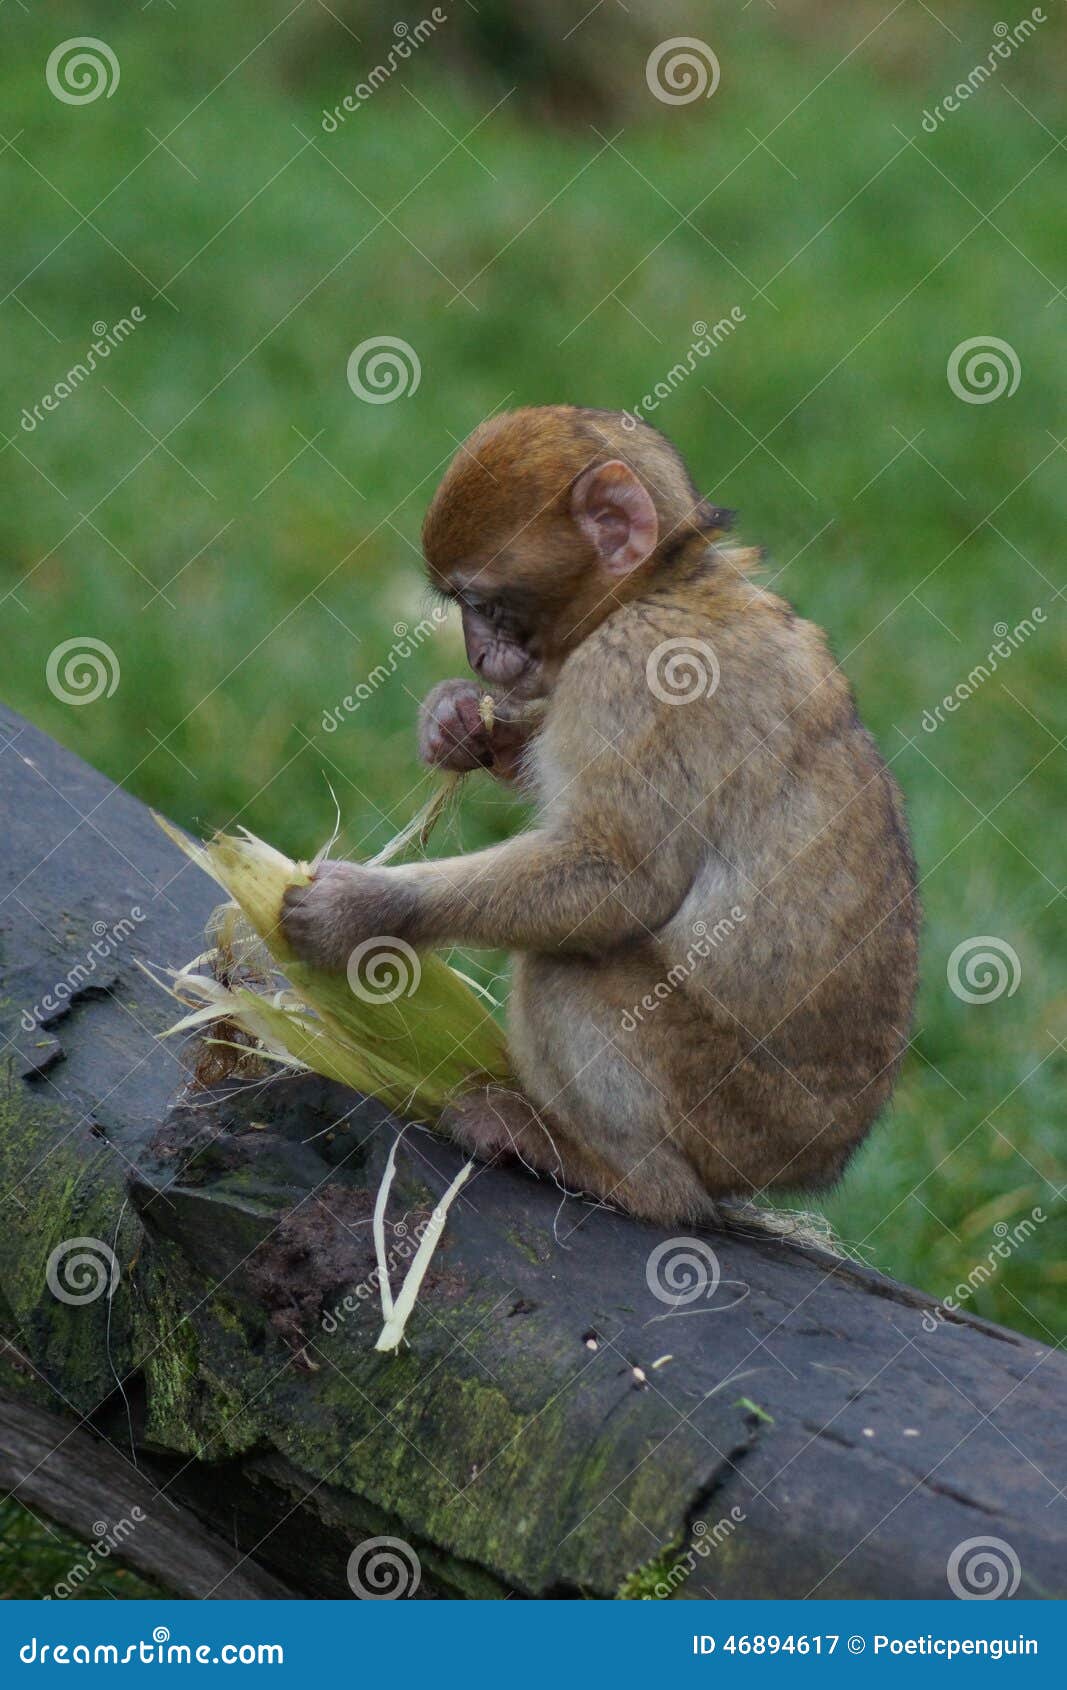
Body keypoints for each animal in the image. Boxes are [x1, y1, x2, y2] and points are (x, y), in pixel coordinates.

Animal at [282, 405, 919, 1227]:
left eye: (483, 604)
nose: (478, 655)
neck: (668, 582)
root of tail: (818, 1159)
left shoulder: (631, 674)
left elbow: (618, 876)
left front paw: (364, 912)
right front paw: (459, 723)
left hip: (727, 1113)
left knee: (567, 971)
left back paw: (621, 1177)